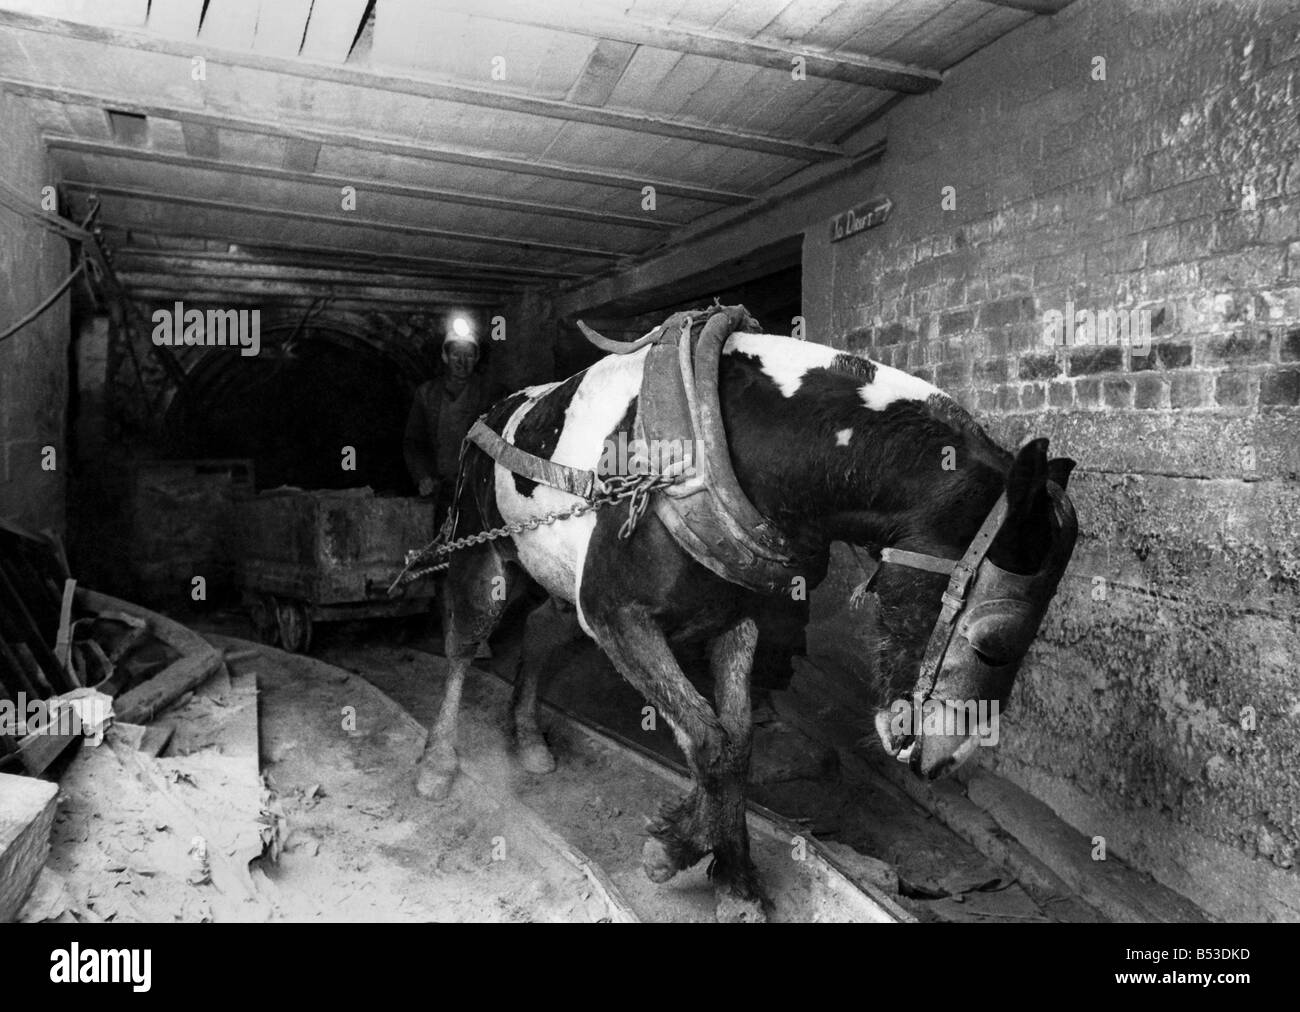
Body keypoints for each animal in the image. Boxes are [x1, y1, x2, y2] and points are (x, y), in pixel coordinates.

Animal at [413, 314, 1077, 922]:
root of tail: (497, 411)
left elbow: (737, 743)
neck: (730, 447)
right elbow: (709, 739)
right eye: (993, 644)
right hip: (483, 557)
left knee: (541, 632)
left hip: (554, 577)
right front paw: (680, 850)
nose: (947, 760)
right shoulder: (615, 612)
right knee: (462, 646)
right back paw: (436, 764)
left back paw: (528, 738)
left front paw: (728, 874)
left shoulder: (734, 619)